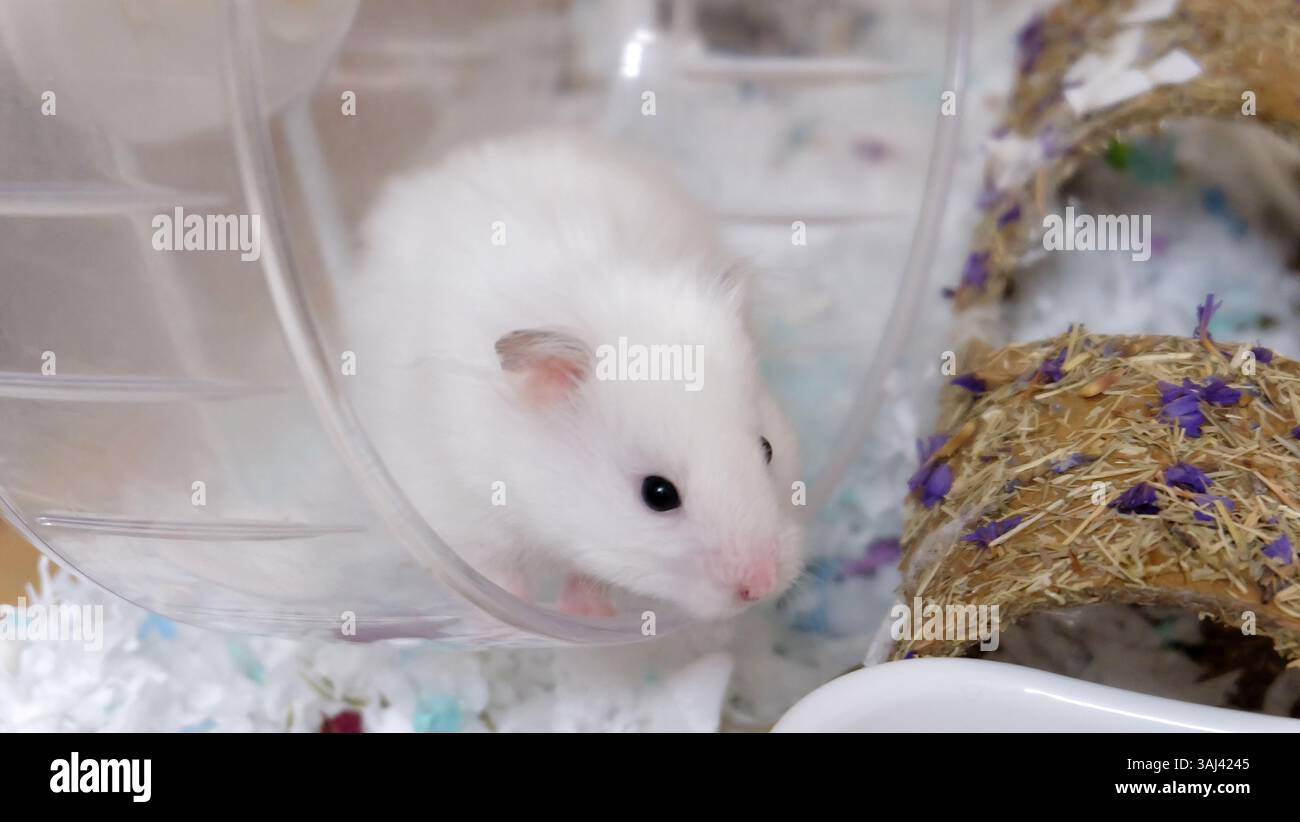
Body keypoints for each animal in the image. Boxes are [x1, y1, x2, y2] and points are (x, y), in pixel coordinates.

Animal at [345, 130, 805, 621]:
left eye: (767, 448)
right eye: (658, 493)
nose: (762, 585)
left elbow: (586, 572)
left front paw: (587, 613)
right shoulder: (458, 507)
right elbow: (493, 570)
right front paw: (510, 618)